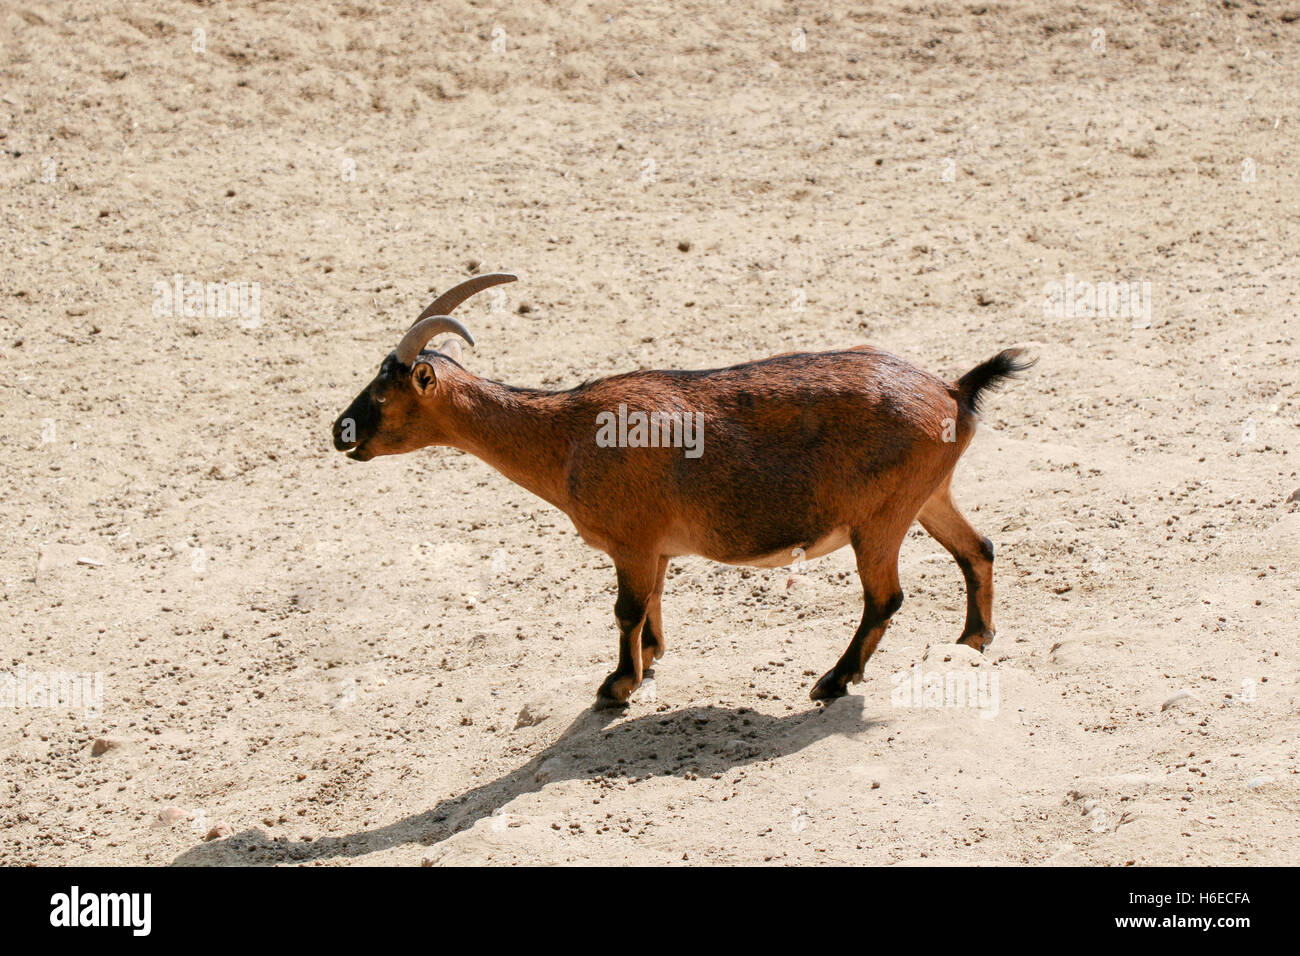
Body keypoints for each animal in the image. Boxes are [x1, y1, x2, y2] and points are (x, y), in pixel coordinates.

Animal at [332, 274, 1033, 708]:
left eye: (385, 394)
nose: (342, 432)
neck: (565, 432)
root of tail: (952, 392)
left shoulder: (633, 543)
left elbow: (625, 609)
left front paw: (617, 686)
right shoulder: (654, 549)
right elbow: (652, 604)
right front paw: (651, 657)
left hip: (879, 518)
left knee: (886, 596)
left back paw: (833, 681)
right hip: (928, 496)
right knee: (979, 548)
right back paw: (973, 640)